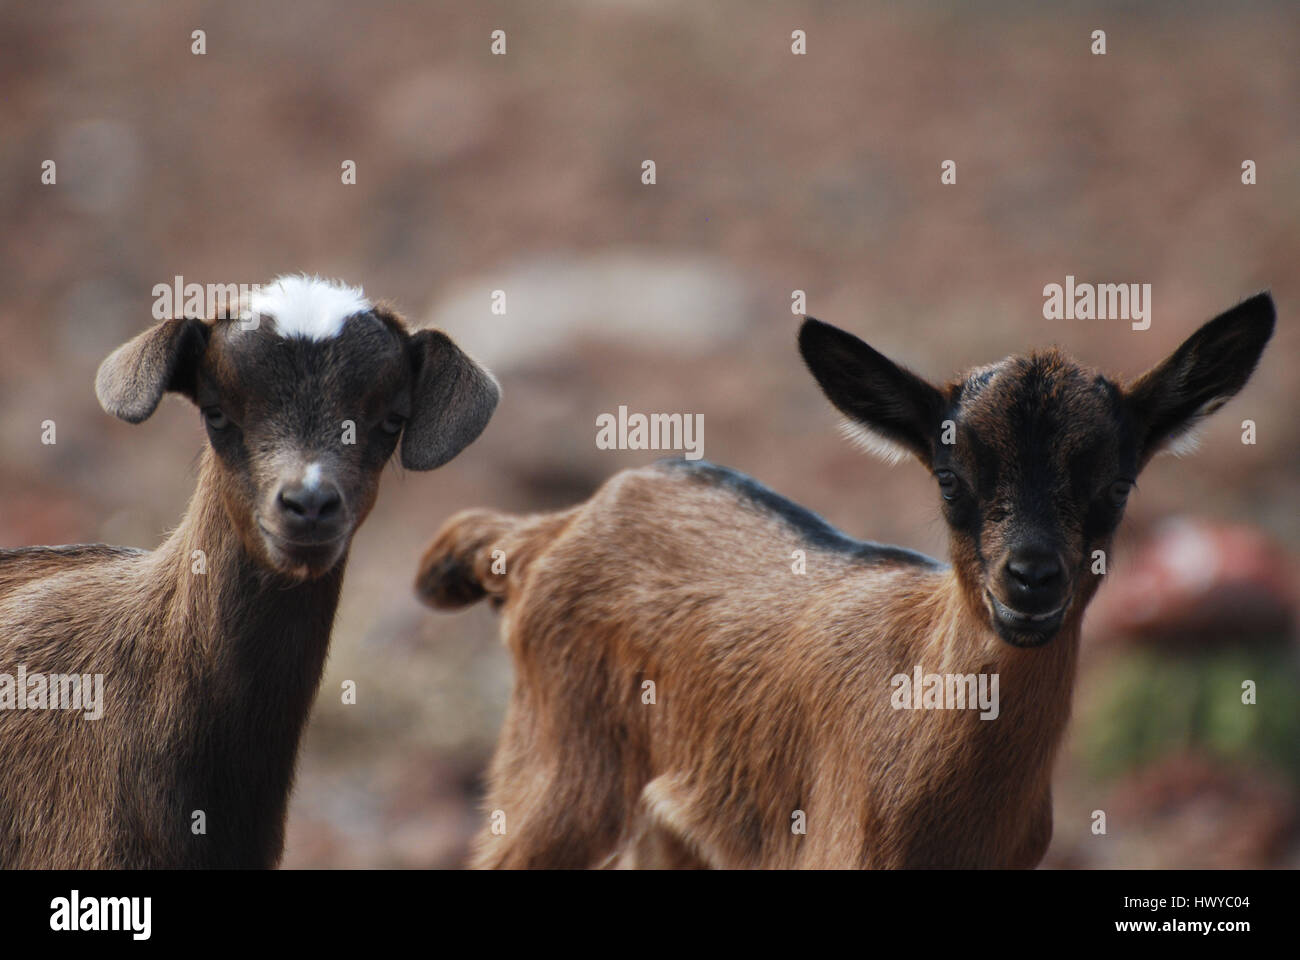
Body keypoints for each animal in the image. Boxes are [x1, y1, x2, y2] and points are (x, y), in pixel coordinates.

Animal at [416, 293, 1274, 868]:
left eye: (1118, 485)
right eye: (950, 480)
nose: (1030, 581)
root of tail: (551, 530)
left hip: (674, 827)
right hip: (558, 781)